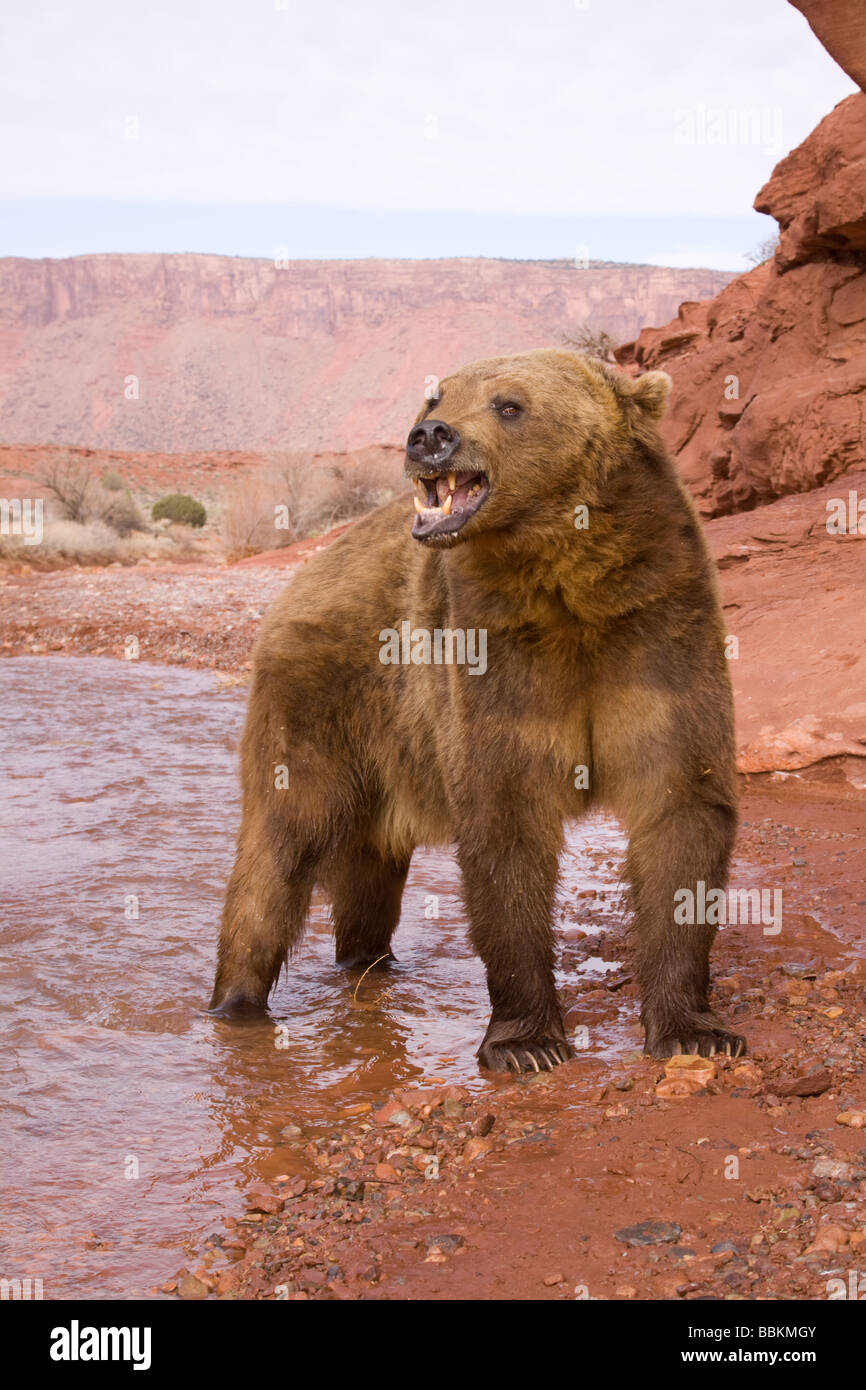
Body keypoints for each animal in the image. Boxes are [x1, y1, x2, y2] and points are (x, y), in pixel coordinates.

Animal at [210, 348, 744, 1072]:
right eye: (434, 398)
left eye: (509, 404)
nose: (429, 437)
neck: (568, 582)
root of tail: (304, 573)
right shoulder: (491, 657)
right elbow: (504, 824)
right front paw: (527, 1043)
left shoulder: (656, 625)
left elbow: (681, 811)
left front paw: (693, 1028)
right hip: (319, 706)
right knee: (279, 848)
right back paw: (236, 1001)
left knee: (367, 873)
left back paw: (369, 960)